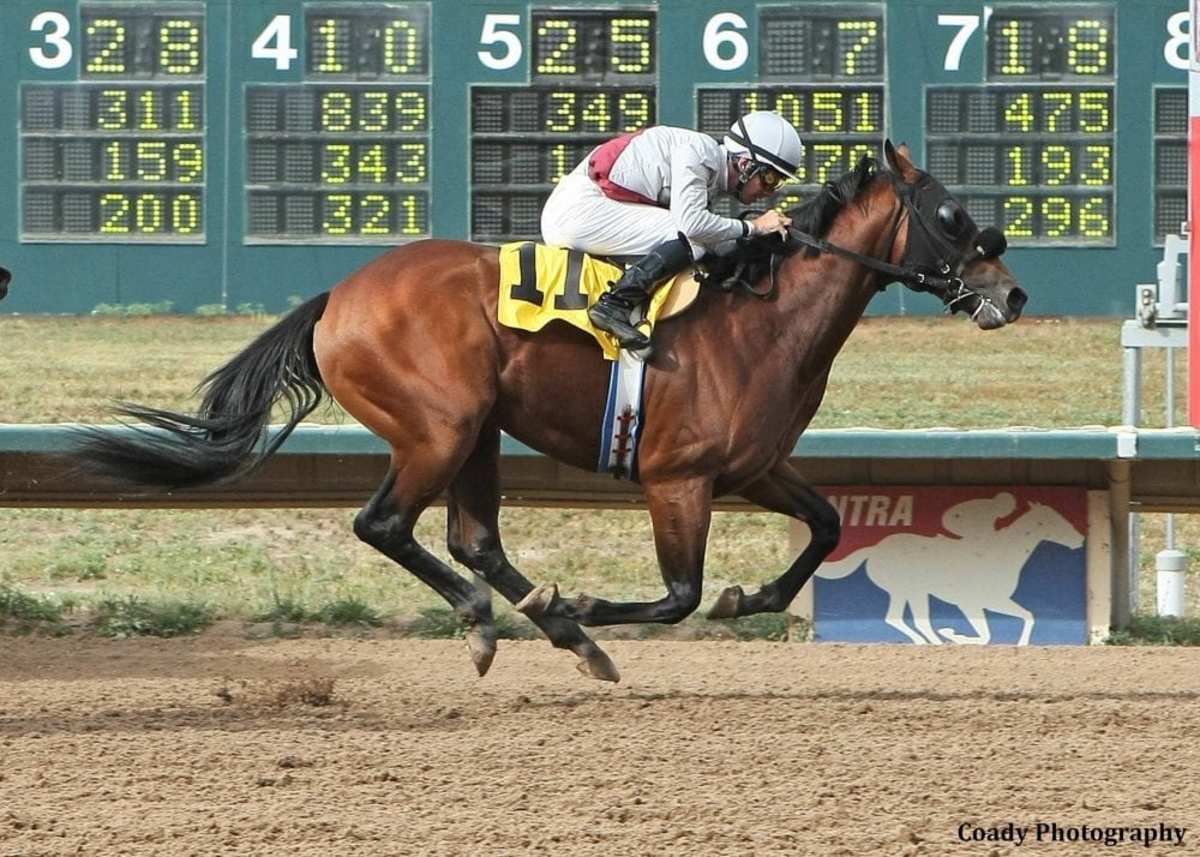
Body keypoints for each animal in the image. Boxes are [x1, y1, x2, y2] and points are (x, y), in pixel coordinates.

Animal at [77, 141, 1026, 682]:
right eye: (952, 215)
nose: (1012, 294)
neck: (763, 318)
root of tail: (338, 295)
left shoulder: (754, 466)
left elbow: (825, 527)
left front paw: (743, 596)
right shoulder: (677, 478)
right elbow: (677, 594)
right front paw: (598, 604)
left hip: (480, 432)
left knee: (474, 539)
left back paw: (556, 629)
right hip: (440, 427)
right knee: (386, 524)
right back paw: (509, 621)